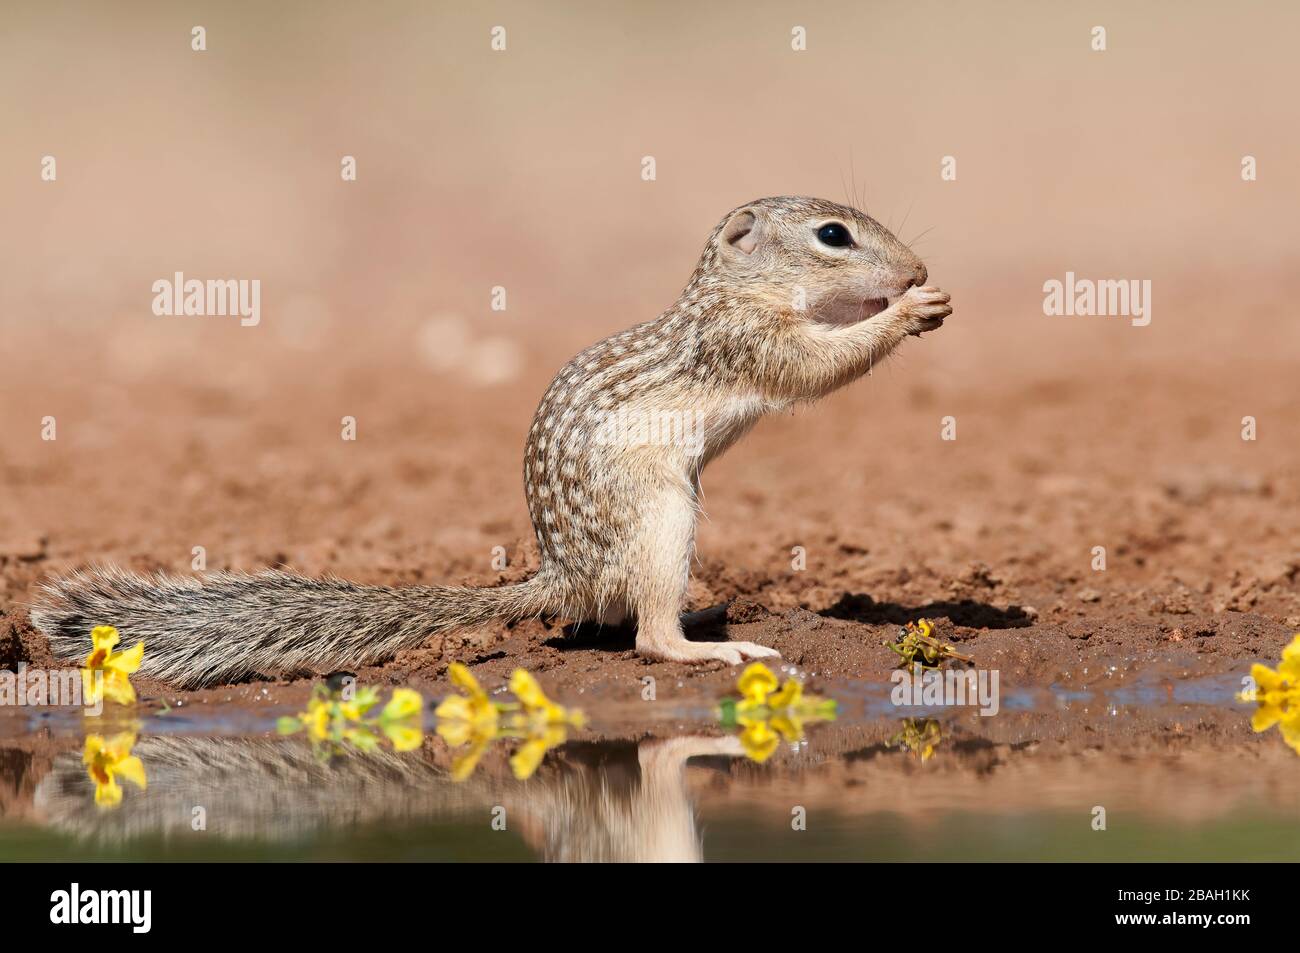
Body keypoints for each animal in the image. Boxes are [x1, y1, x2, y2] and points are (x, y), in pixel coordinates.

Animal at [31, 196, 951, 687]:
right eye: (833, 235)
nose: (915, 268)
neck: (735, 291)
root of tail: (560, 577)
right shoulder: (747, 342)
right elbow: (817, 365)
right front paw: (906, 311)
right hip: (663, 516)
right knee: (647, 634)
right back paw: (715, 645)